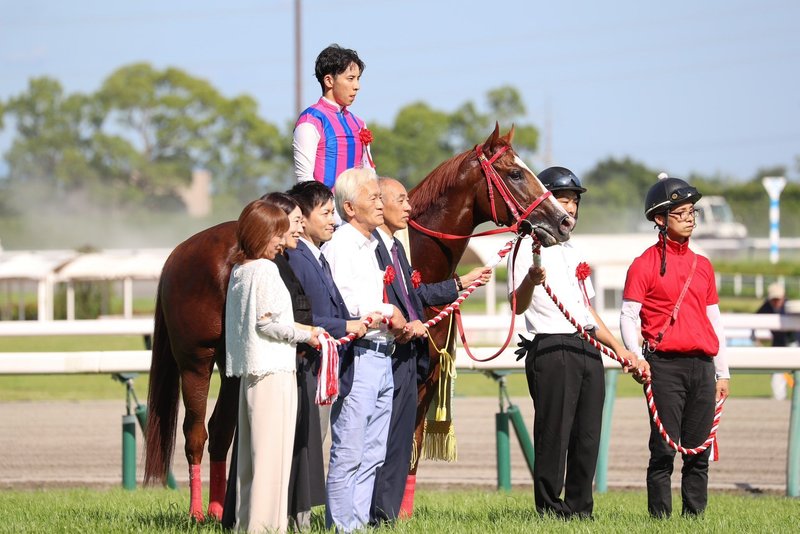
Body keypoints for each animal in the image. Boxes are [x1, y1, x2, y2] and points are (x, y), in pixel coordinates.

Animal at [143, 123, 573, 521]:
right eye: (514, 173)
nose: (564, 222)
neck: (415, 263)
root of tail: (179, 253)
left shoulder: (427, 375)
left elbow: (412, 443)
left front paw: (400, 513)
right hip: (196, 362)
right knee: (195, 433)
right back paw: (198, 512)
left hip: (237, 364)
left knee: (221, 431)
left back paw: (220, 511)